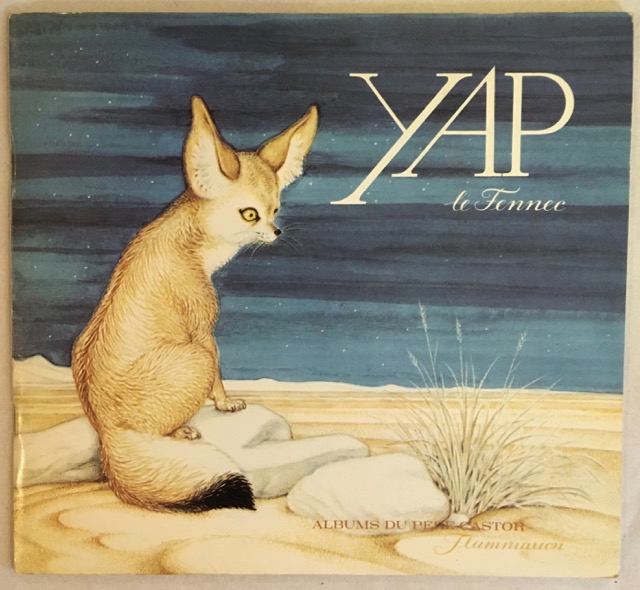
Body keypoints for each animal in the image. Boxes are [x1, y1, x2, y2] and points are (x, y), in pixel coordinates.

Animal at [71, 96, 318, 512]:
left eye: (276, 209)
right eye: (250, 214)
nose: (276, 231)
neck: (189, 241)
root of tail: (104, 431)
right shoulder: (203, 328)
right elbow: (218, 370)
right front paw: (225, 404)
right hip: (193, 360)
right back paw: (182, 430)